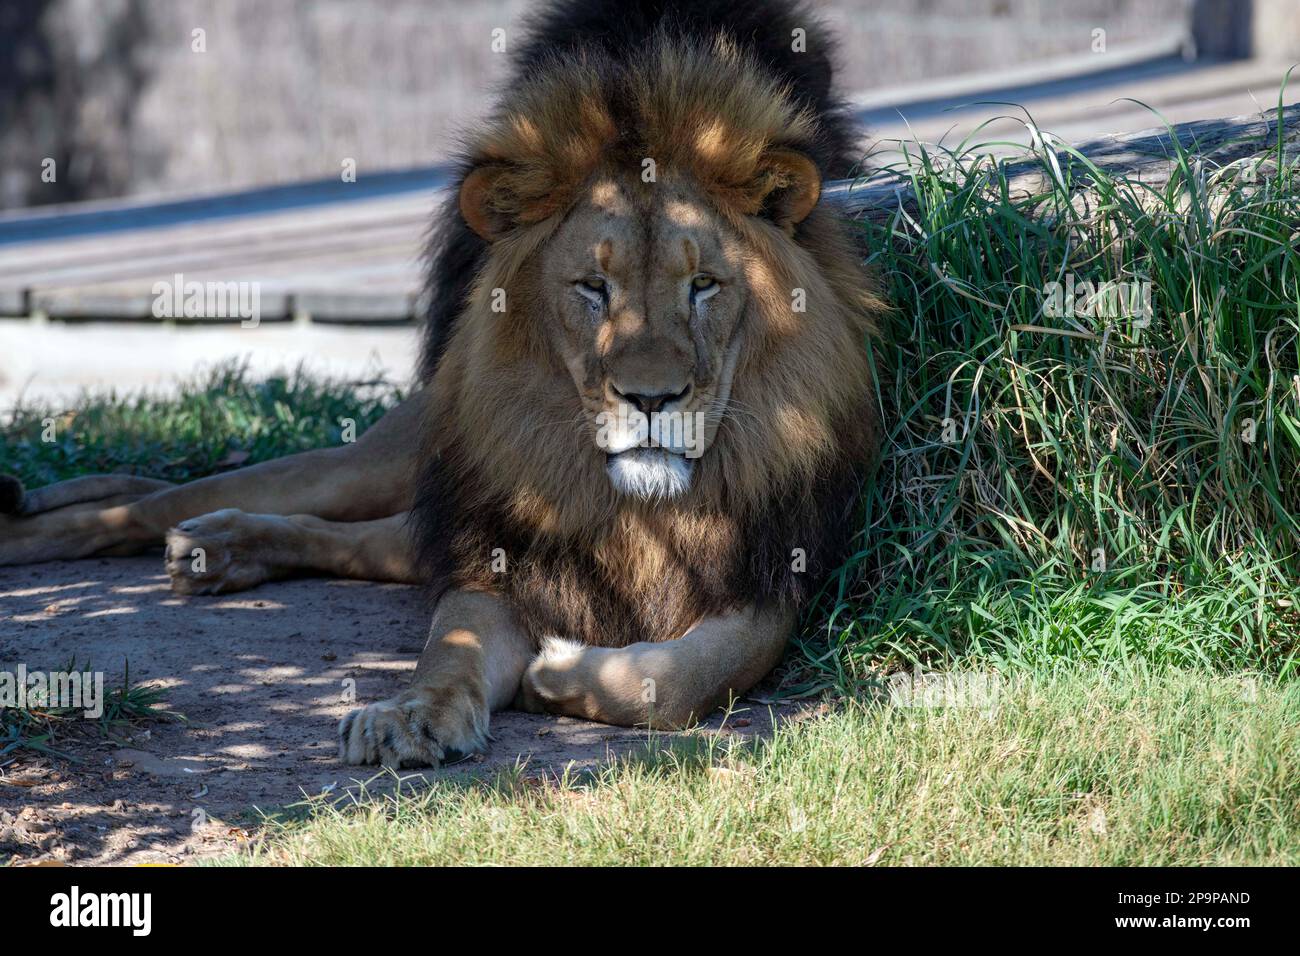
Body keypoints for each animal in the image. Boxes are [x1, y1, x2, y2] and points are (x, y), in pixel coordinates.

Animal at [0, 0, 884, 768]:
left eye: (703, 287)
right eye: (592, 289)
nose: (651, 399)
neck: (633, 511)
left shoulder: (768, 584)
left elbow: (677, 677)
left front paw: (559, 670)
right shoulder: (495, 560)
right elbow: (448, 653)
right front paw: (410, 716)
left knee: (353, 542)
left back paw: (222, 550)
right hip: (375, 466)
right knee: (158, 504)